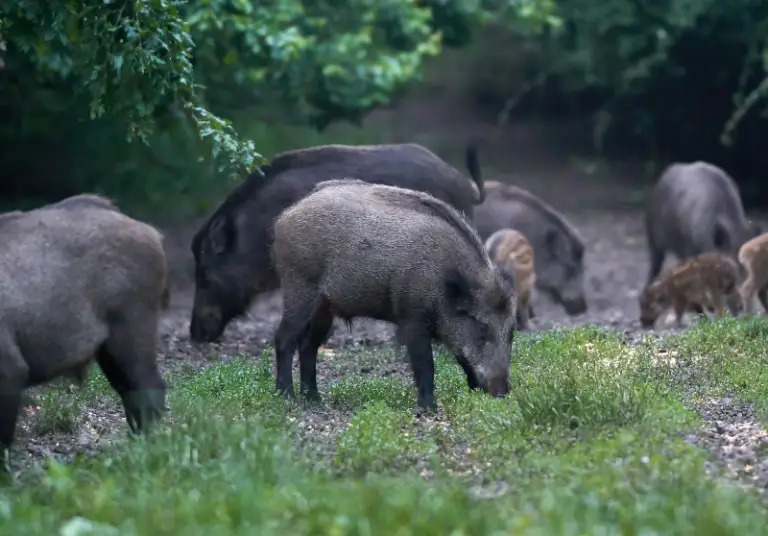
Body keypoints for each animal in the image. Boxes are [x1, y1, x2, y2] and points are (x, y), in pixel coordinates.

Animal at [0, 204, 169, 468]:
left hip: (133, 326)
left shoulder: (10, 370)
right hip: (108, 350)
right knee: (130, 391)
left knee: (149, 388)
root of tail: (152, 233)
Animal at [271, 179, 516, 410]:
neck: (442, 280)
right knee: (284, 338)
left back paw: (314, 399)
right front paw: (429, 407)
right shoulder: (412, 317)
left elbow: (462, 359)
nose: (502, 393)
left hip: (324, 308)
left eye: (511, 333)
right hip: (299, 287)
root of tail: (285, 217)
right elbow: (425, 363)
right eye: (482, 328)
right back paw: (286, 397)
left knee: (308, 346)